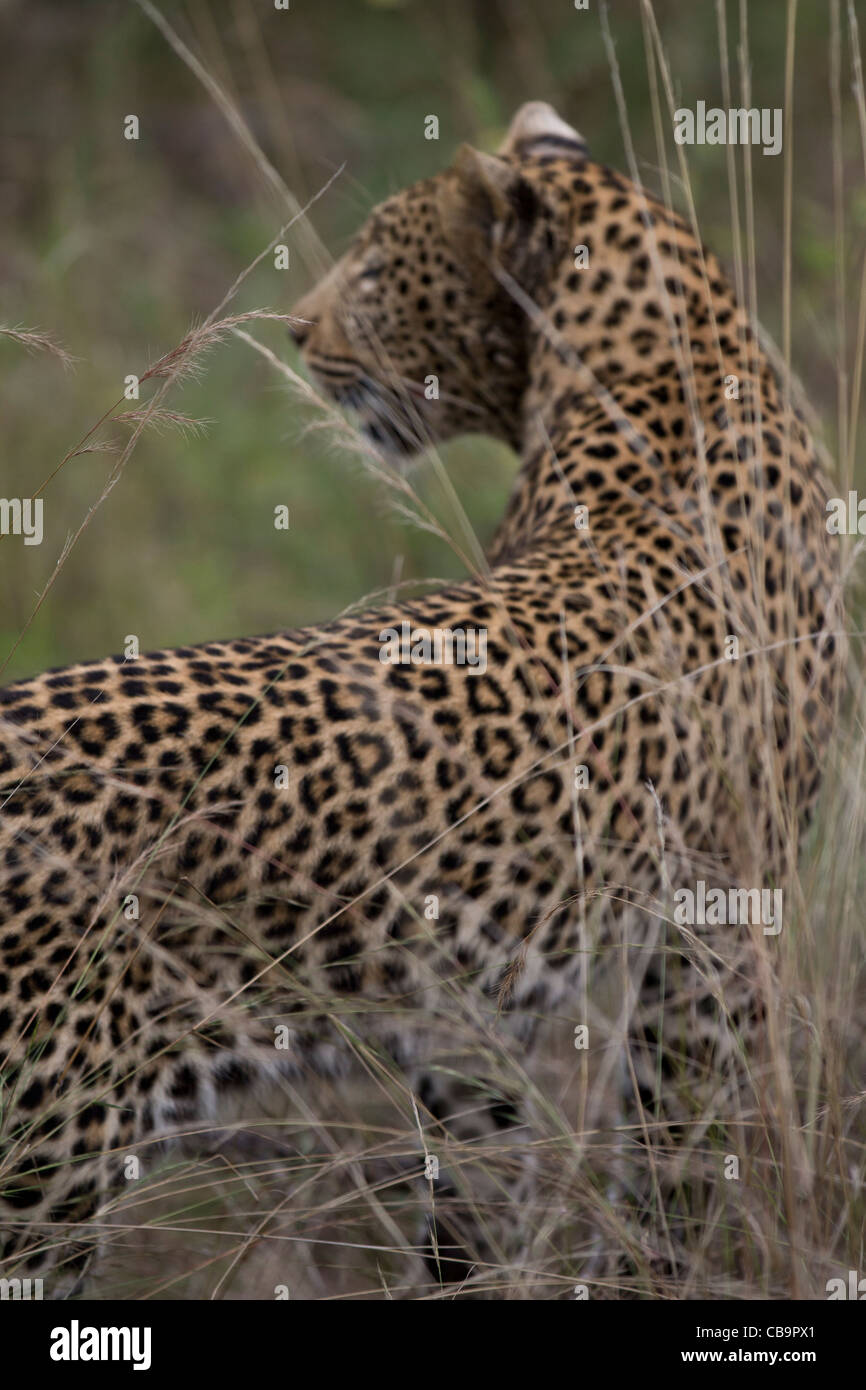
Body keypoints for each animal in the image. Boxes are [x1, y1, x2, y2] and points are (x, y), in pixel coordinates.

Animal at [0, 101, 847, 1298]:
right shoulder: (708, 926)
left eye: (373, 268)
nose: (296, 332)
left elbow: (555, 1167)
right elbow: (666, 1160)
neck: (649, 364)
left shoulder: (541, 983)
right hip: (45, 1158)